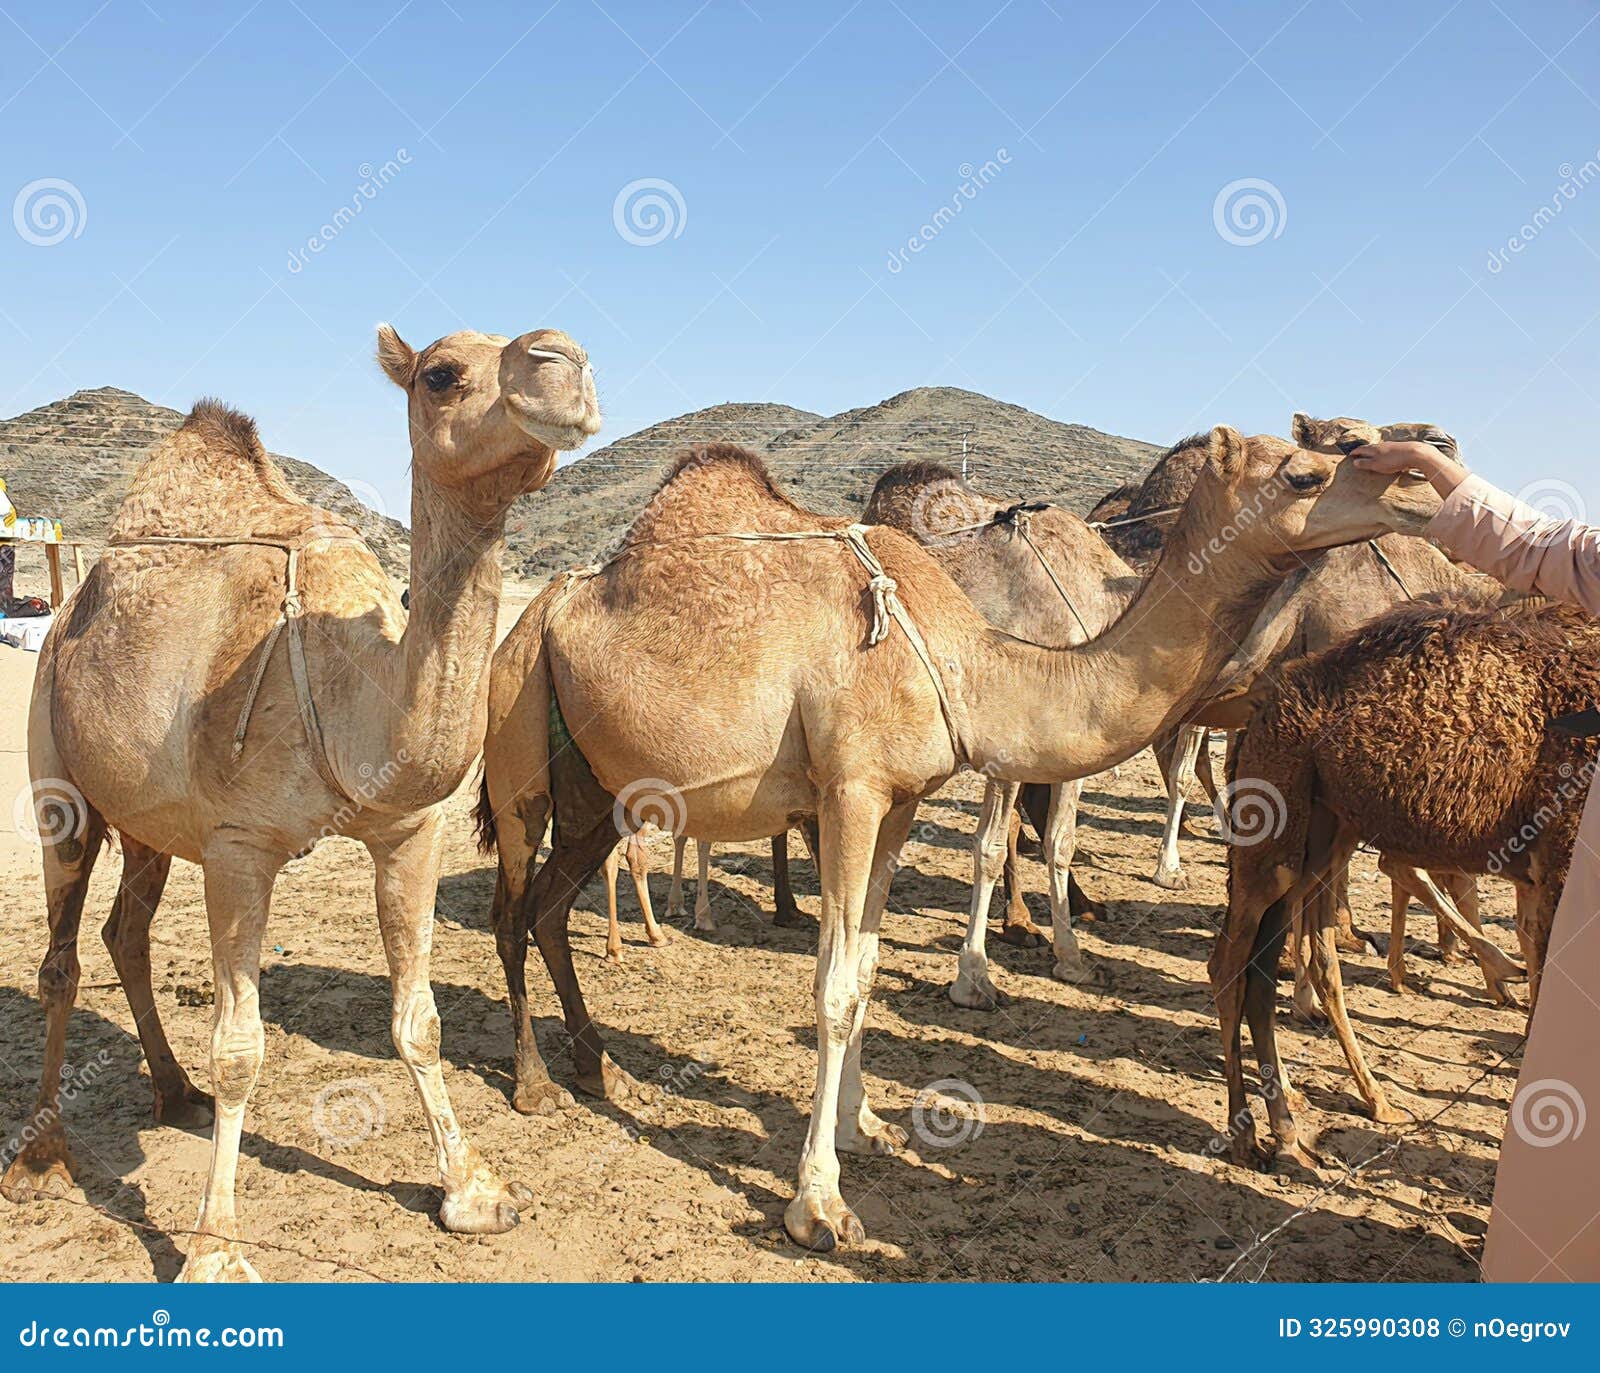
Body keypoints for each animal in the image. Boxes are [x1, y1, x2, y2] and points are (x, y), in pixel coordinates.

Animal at [0, 324, 600, 1282]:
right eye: (441, 373)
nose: (563, 361)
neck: (348, 683)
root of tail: (63, 617)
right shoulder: (240, 847)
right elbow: (241, 1049)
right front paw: (214, 1248)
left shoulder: (407, 829)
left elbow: (419, 1020)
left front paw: (475, 1192)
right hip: (59, 768)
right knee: (61, 960)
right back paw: (37, 1158)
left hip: (153, 824)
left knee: (125, 932)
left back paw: (173, 1092)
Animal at [1210, 599, 1600, 1168]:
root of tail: (1253, 720)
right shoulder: (1559, 868)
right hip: (1273, 829)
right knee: (1229, 967)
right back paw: (1248, 1139)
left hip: (1320, 833)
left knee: (1267, 973)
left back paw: (1305, 1126)